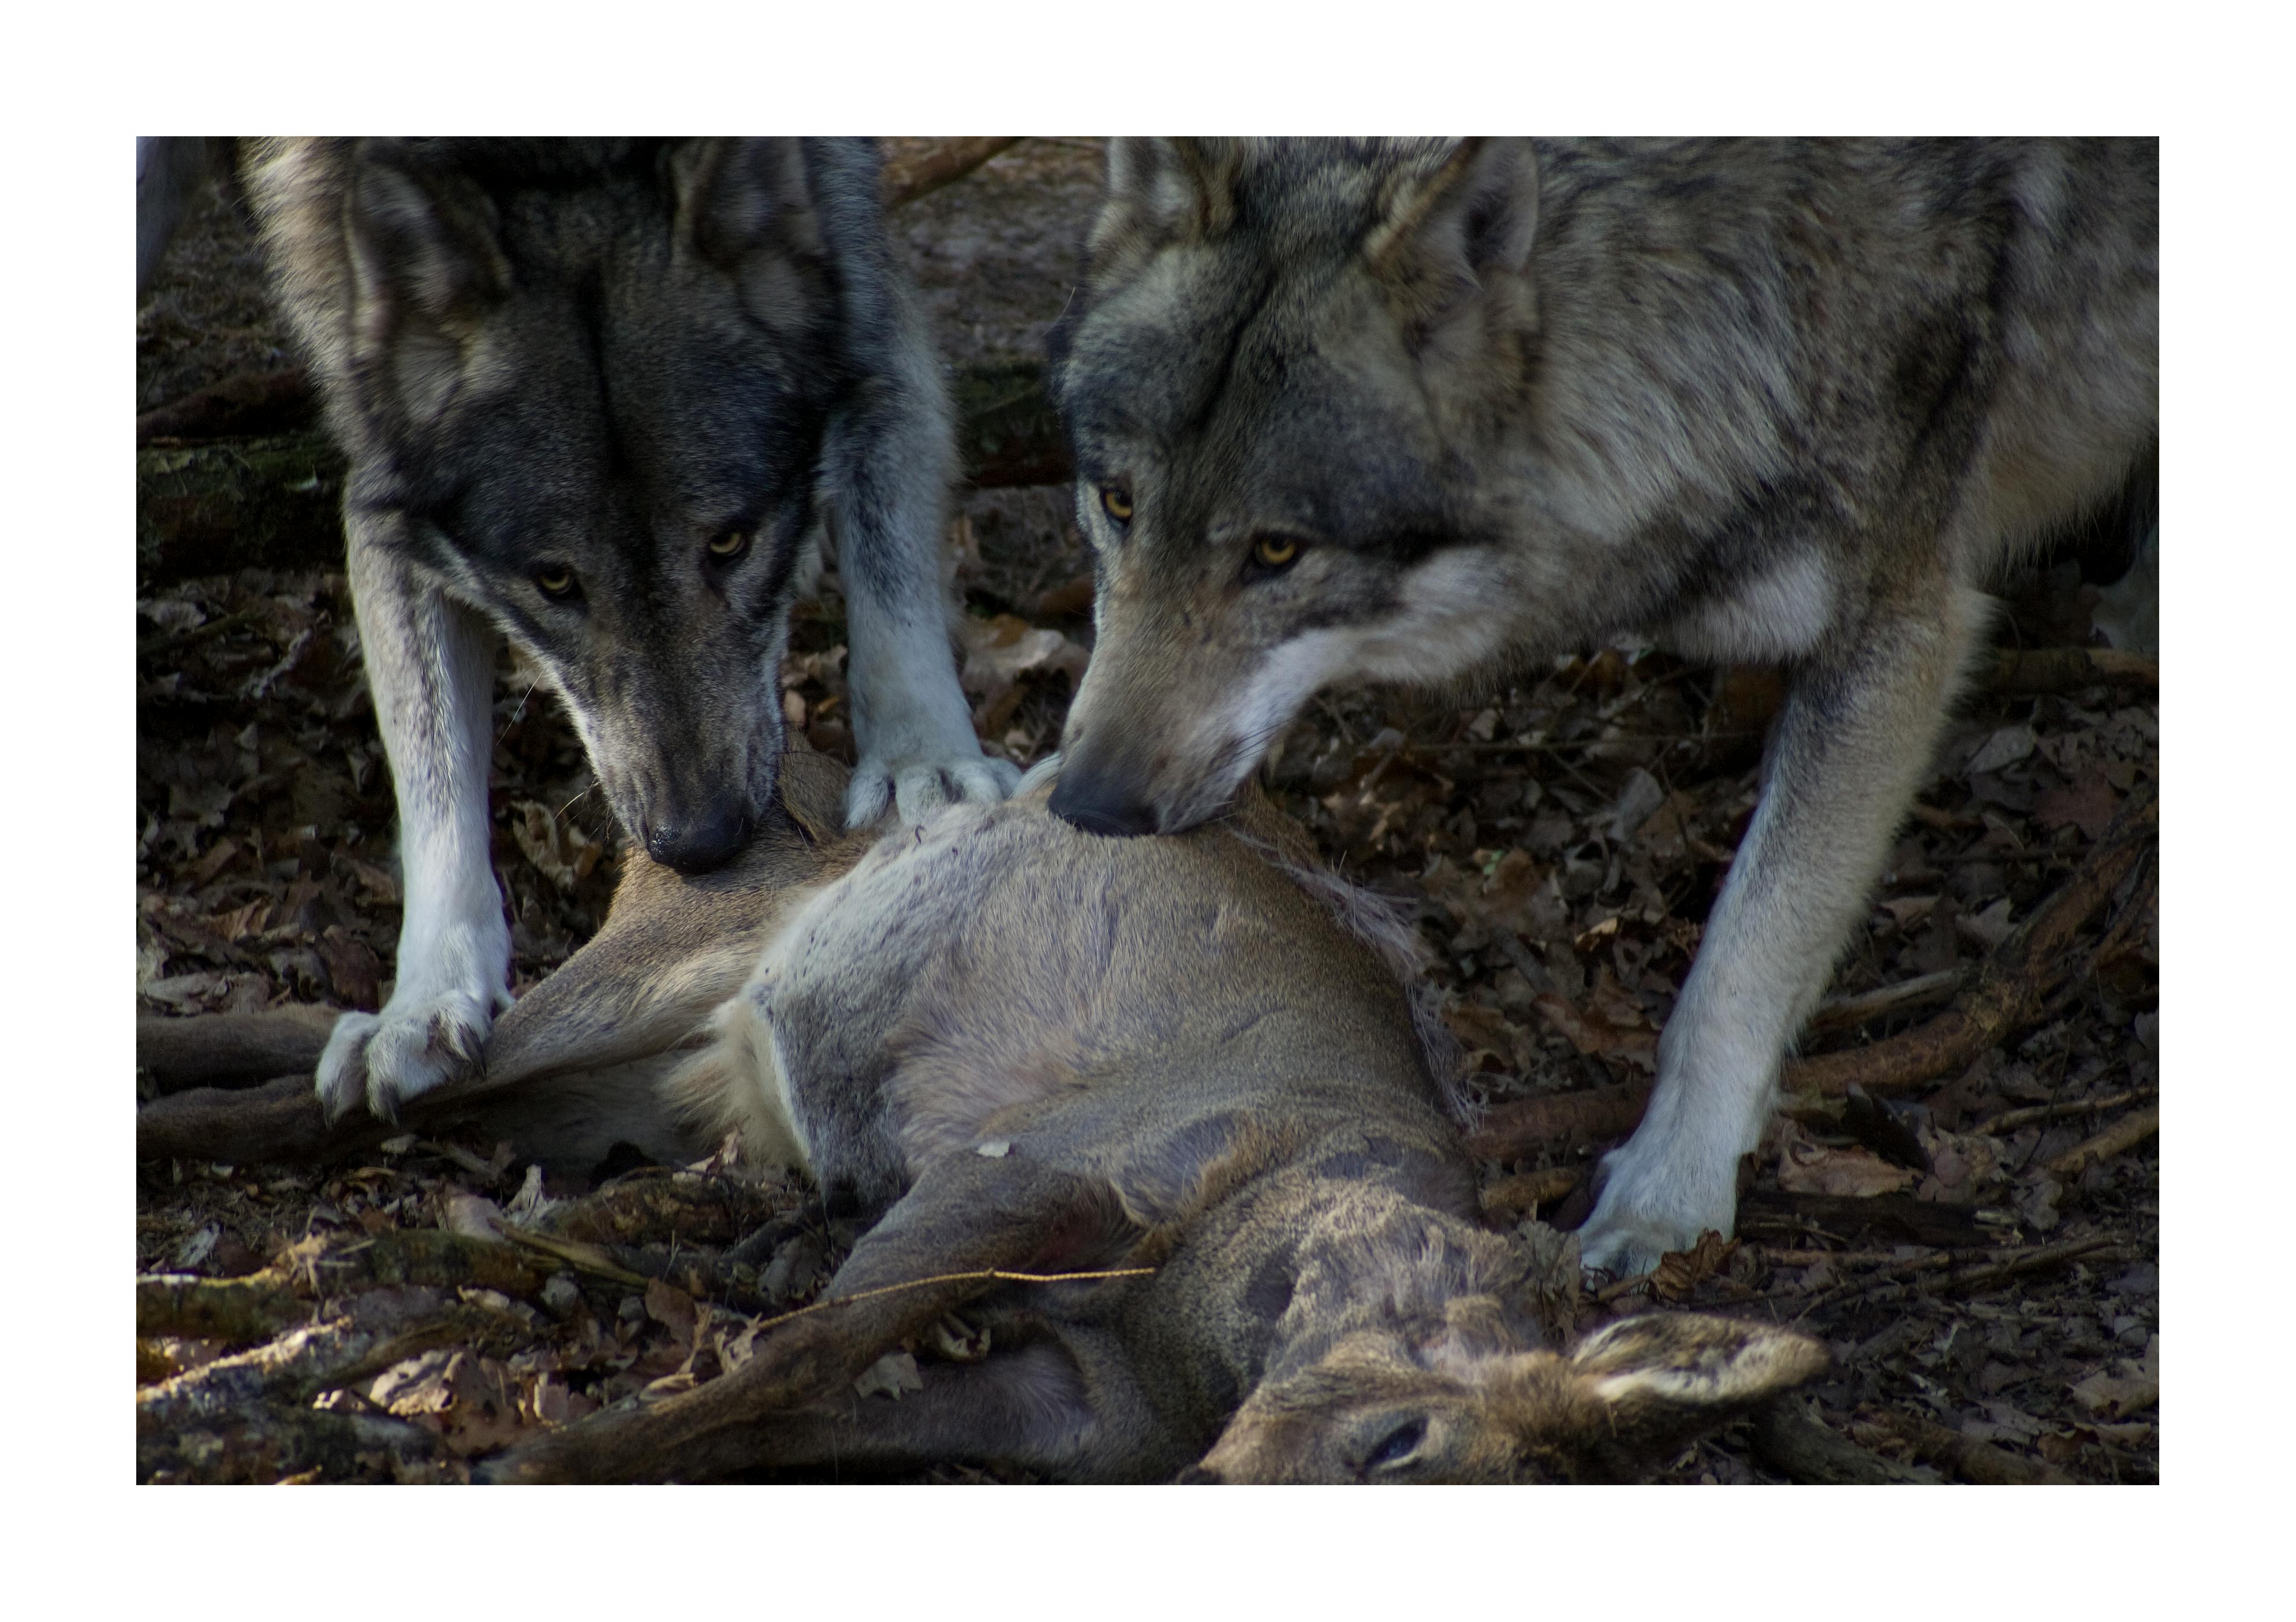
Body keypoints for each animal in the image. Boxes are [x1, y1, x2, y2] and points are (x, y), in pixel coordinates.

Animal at [232, 138, 1015, 1122]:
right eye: (555, 581)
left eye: (731, 541)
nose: (701, 847)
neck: (567, 165)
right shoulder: (378, 434)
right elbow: (435, 773)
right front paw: (425, 1002)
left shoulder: (853, 273)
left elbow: (891, 563)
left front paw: (926, 767)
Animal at [1038, 138, 2158, 1277]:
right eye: (1117, 504)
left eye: (1276, 551)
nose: (1085, 806)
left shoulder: (1902, 630)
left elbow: (1741, 958)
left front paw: (1668, 1194)